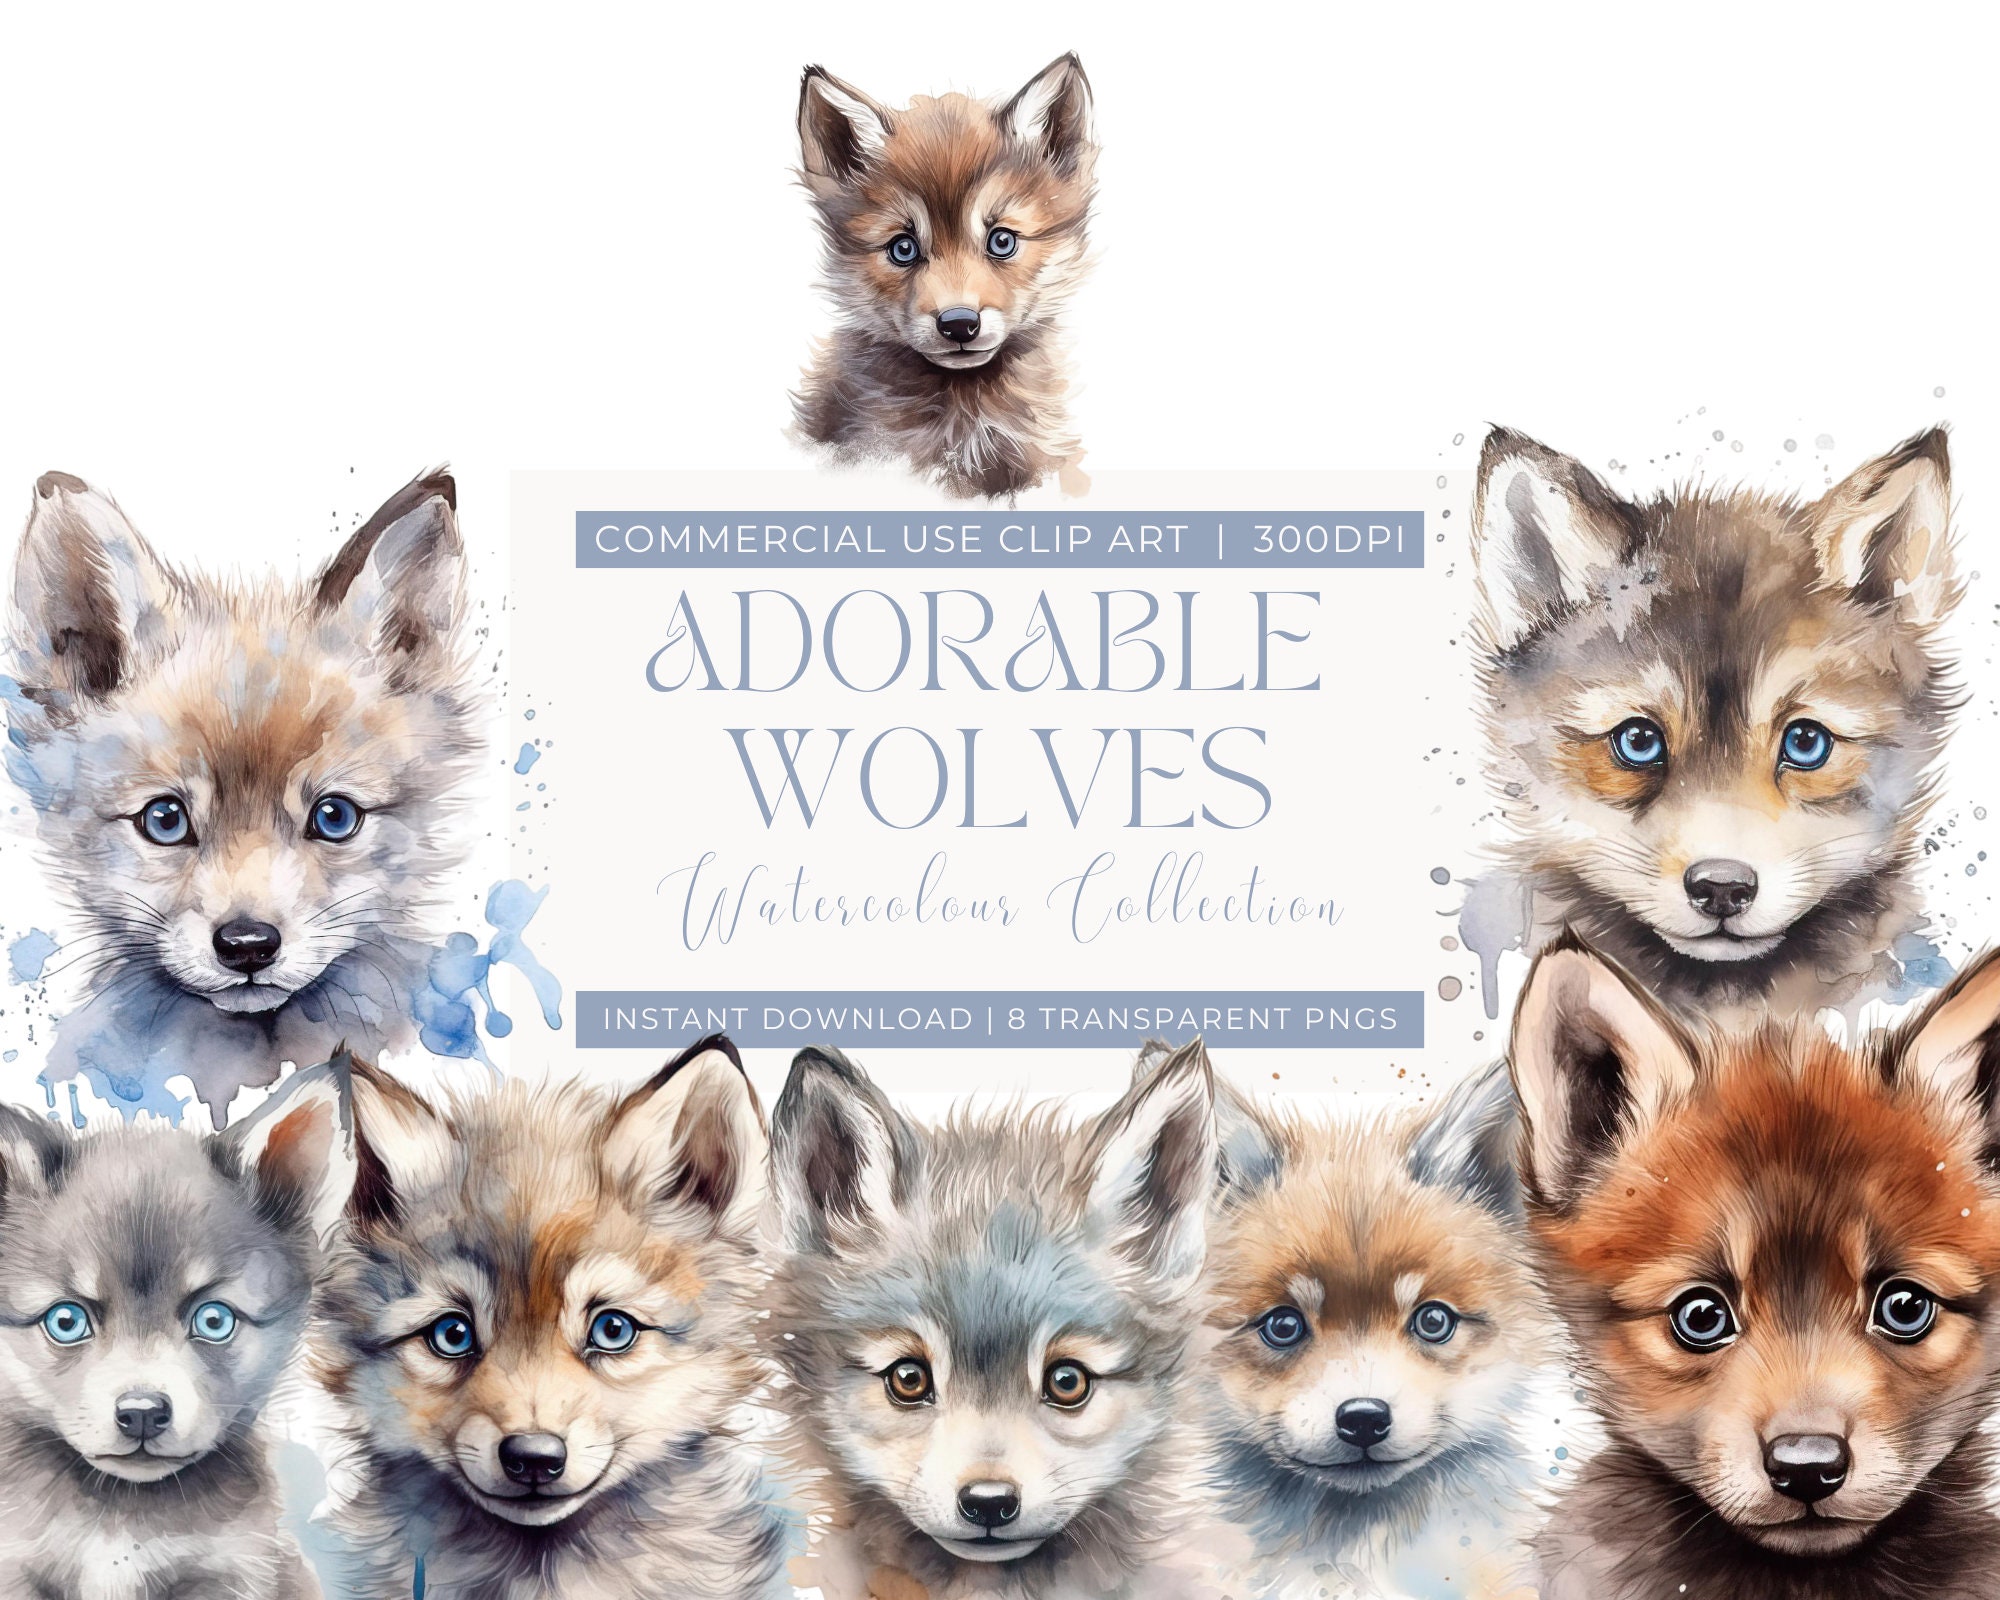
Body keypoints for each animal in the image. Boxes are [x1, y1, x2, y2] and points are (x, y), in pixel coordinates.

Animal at [0, 1058, 356, 1599]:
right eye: (66, 1321)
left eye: (214, 1319)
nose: (142, 1413)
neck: (120, 1520)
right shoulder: (17, 1566)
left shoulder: (228, 1571)